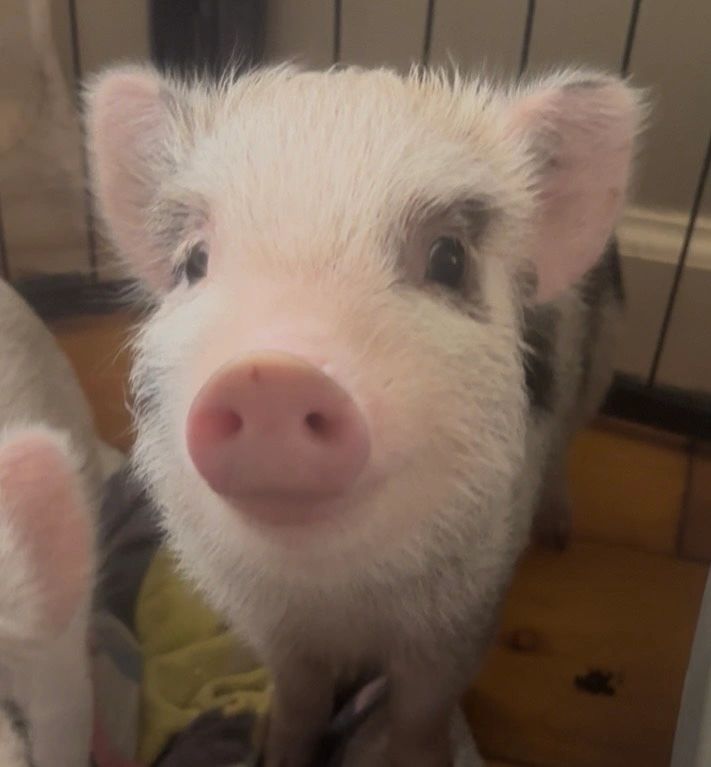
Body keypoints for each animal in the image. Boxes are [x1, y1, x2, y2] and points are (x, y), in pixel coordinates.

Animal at [86, 63, 642, 766]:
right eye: (194, 262)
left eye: (449, 258)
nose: (270, 374)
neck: (335, 597)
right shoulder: (277, 632)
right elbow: (299, 699)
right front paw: (272, 750)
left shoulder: (469, 607)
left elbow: (421, 708)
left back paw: (559, 533)